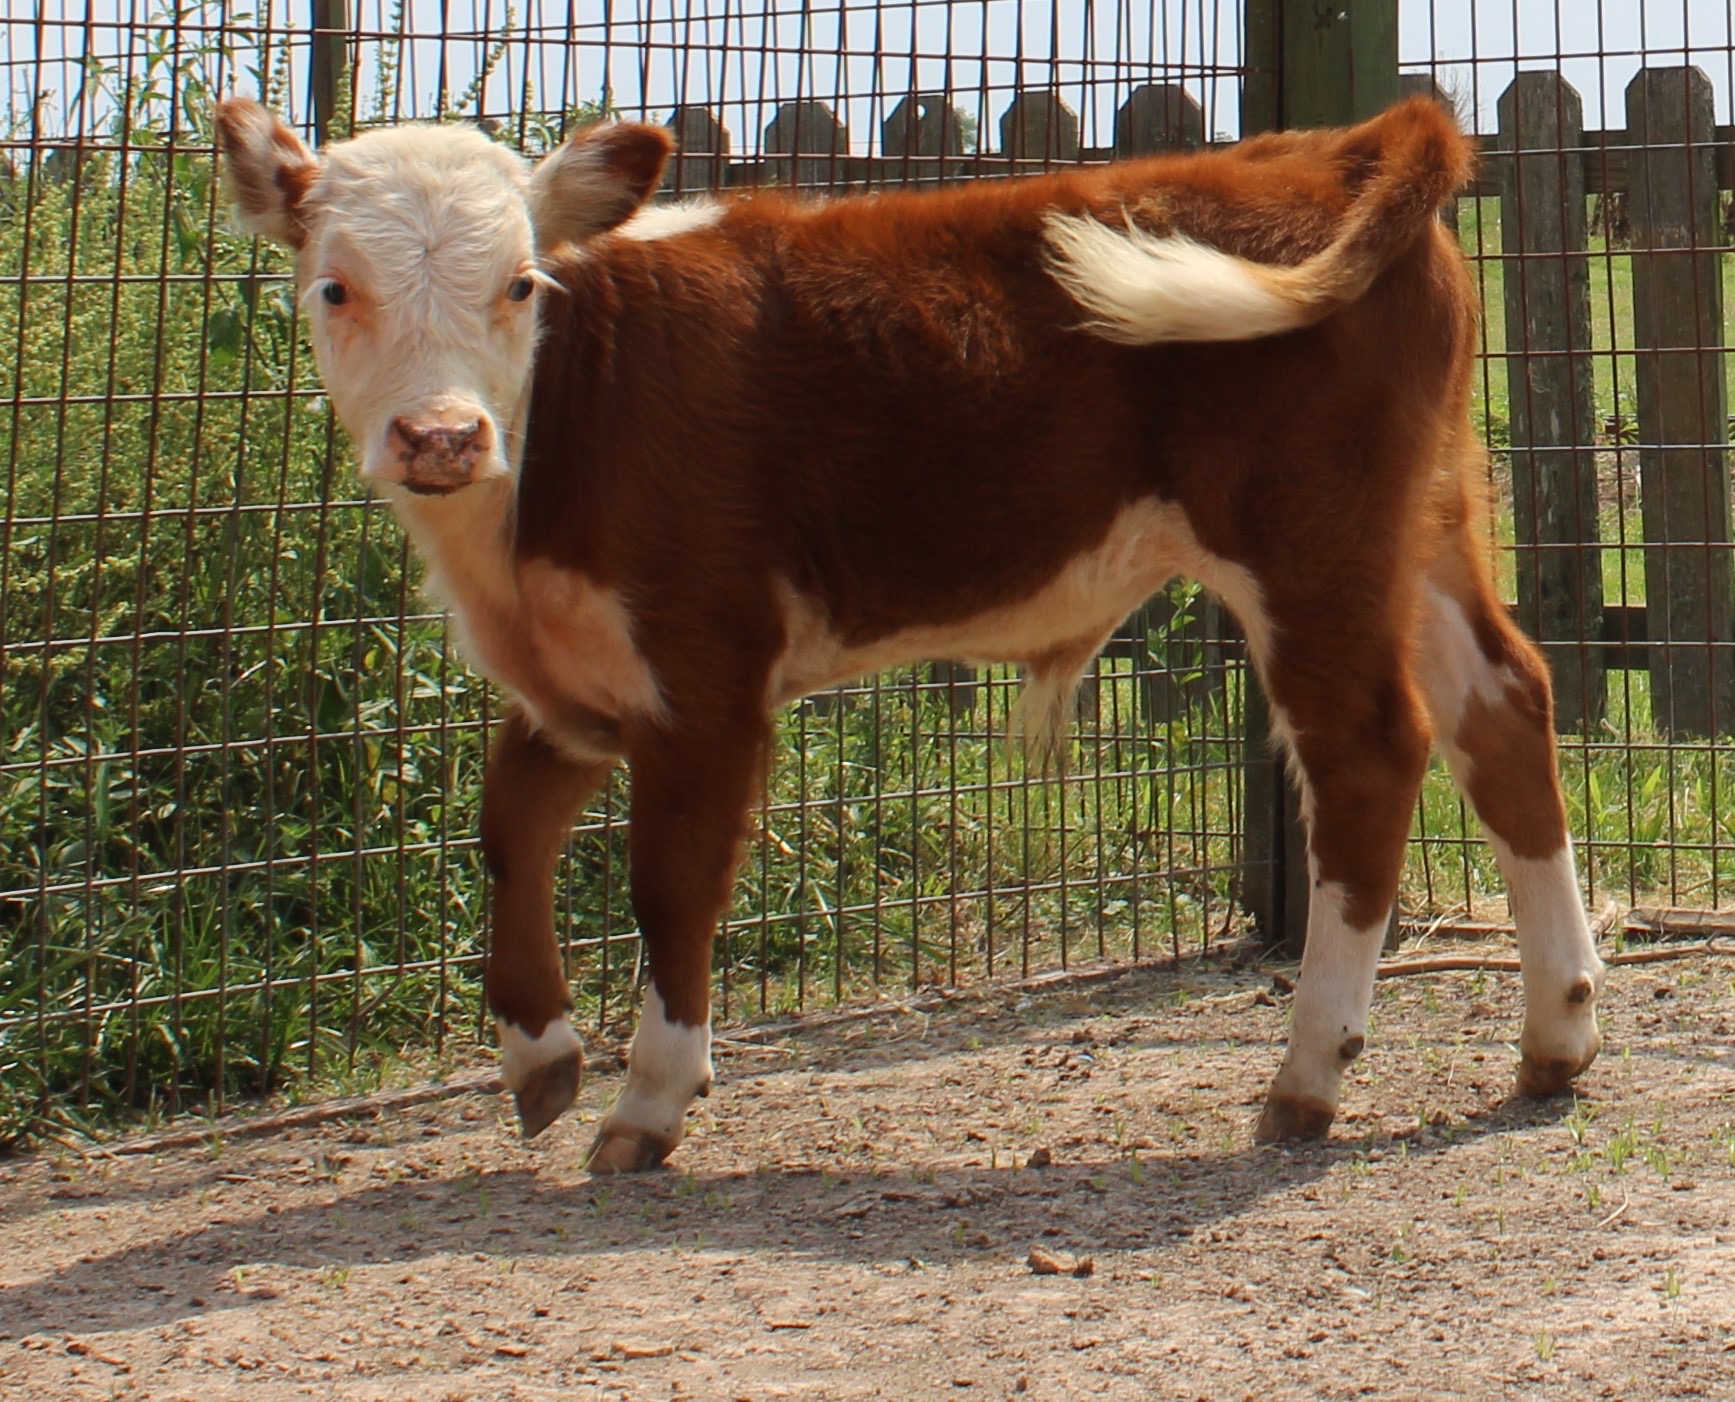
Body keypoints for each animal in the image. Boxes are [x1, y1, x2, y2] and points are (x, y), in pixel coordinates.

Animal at [216, 94, 1605, 1173]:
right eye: (333, 286)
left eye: (517, 284)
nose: (442, 437)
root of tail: (1333, 146)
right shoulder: (576, 671)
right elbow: (508, 827)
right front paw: (539, 1054)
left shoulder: (705, 667)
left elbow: (669, 880)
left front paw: (649, 1097)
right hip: (1418, 532)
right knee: (1507, 706)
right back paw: (1555, 1034)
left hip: (1309, 547)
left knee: (1369, 756)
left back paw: (1308, 1074)